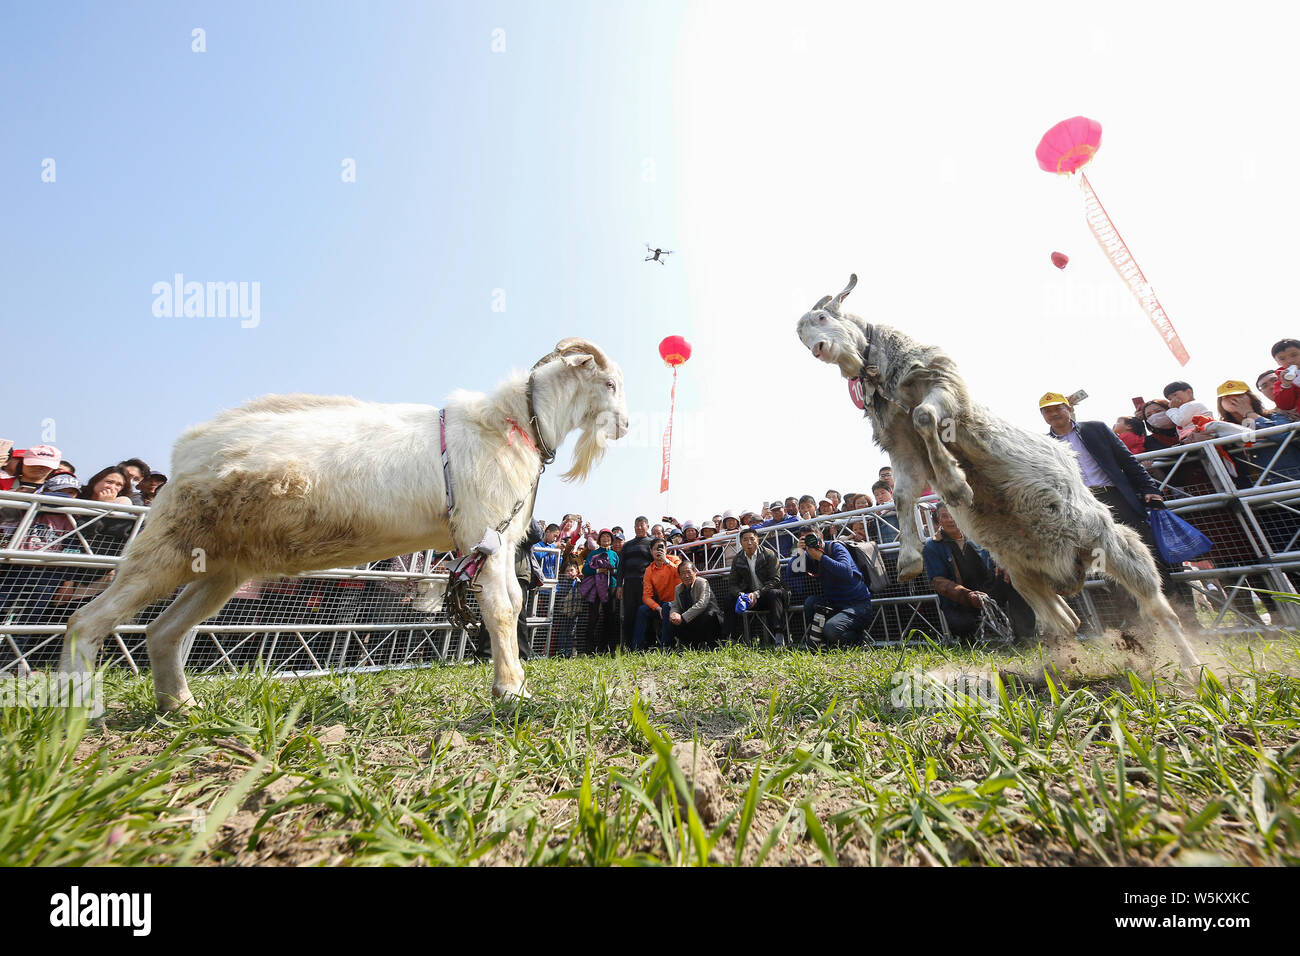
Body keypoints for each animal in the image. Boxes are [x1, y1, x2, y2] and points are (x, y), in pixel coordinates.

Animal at [57, 338, 628, 711]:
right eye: (609, 383)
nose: (625, 425)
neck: (511, 422)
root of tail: (188, 447)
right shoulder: (481, 532)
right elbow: (503, 609)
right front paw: (510, 690)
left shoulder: (500, 542)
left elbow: (509, 601)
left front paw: (514, 685)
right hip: (169, 540)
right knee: (86, 620)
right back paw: (75, 711)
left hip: (219, 566)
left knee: (161, 630)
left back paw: (179, 705)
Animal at [796, 275, 1204, 675]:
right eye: (801, 335)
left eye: (822, 318)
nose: (818, 349)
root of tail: (1074, 568)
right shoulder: (899, 440)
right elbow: (902, 492)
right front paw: (910, 559)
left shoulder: (942, 388)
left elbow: (925, 418)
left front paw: (955, 485)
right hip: (1022, 571)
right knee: (1066, 622)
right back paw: (1061, 661)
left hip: (1114, 542)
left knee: (1158, 608)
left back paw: (1192, 668)